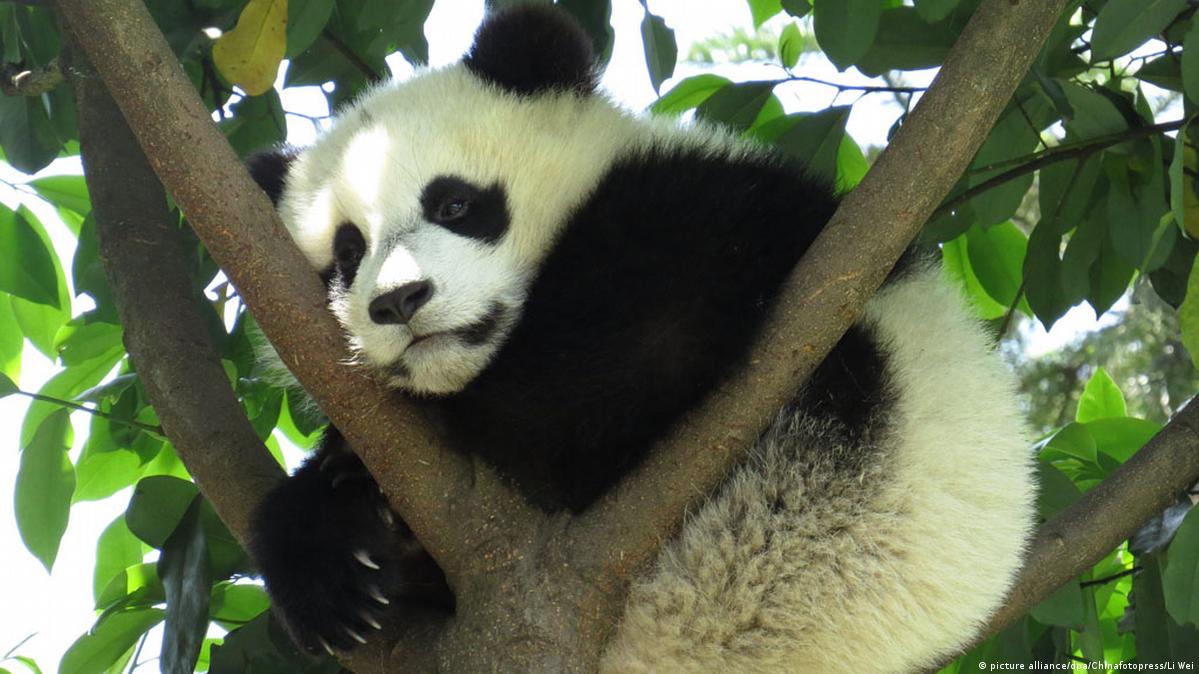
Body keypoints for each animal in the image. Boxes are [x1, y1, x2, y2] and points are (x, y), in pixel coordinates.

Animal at [246, 4, 1036, 672]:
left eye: (456, 204)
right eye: (345, 255)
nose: (398, 301)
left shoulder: (715, 215)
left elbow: (622, 365)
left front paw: (370, 467)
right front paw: (331, 558)